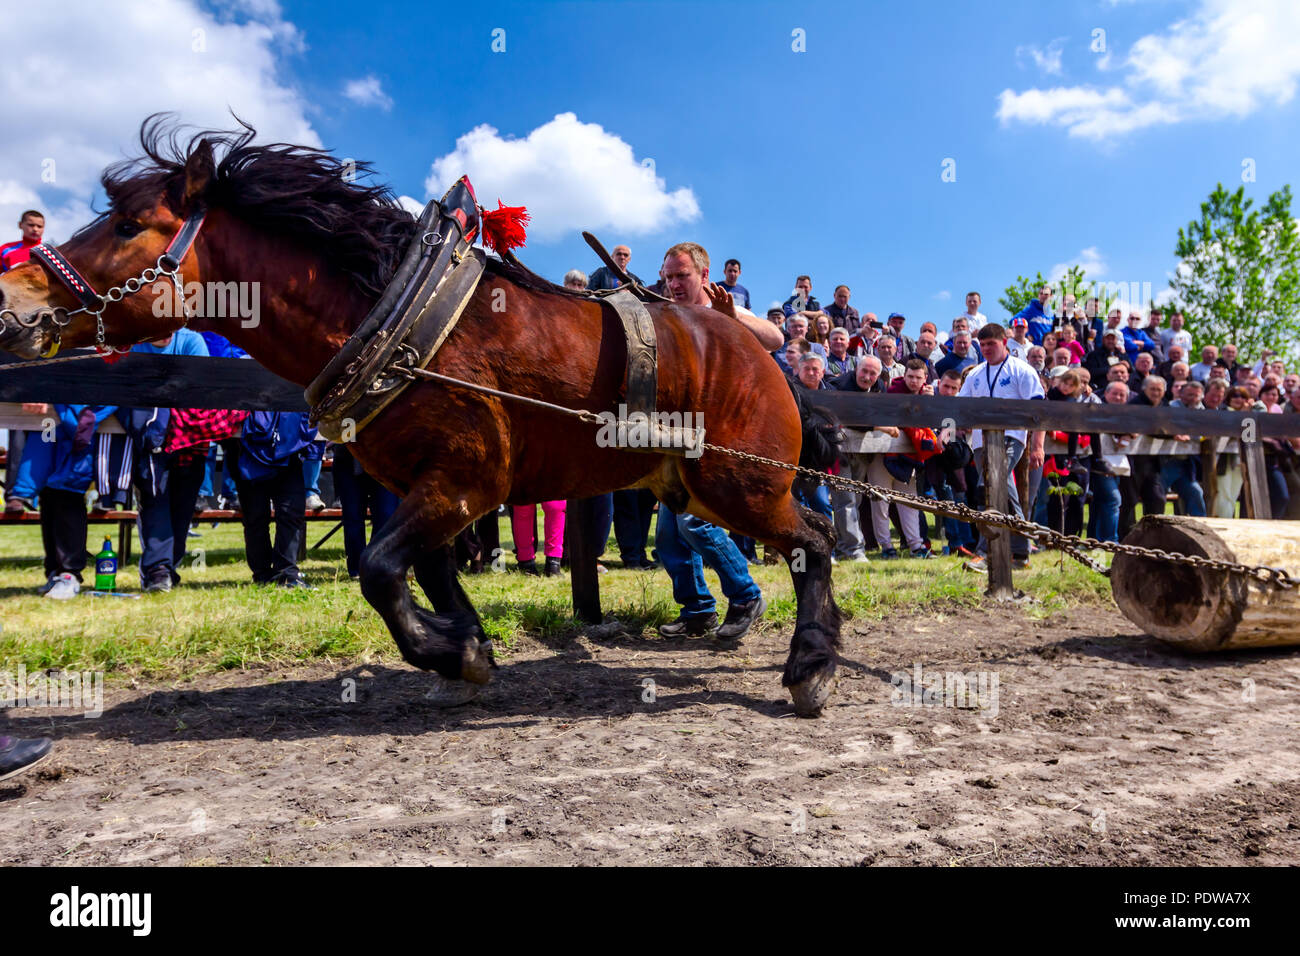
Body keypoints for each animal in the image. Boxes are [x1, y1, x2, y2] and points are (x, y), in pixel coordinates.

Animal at [0, 118, 844, 716]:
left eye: (126, 225)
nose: (14, 303)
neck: (394, 319)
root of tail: (759, 350)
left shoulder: (465, 483)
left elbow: (379, 571)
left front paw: (453, 654)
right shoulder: (426, 489)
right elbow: (426, 570)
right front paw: (465, 647)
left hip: (740, 482)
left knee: (814, 541)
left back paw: (810, 666)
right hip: (695, 486)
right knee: (808, 537)